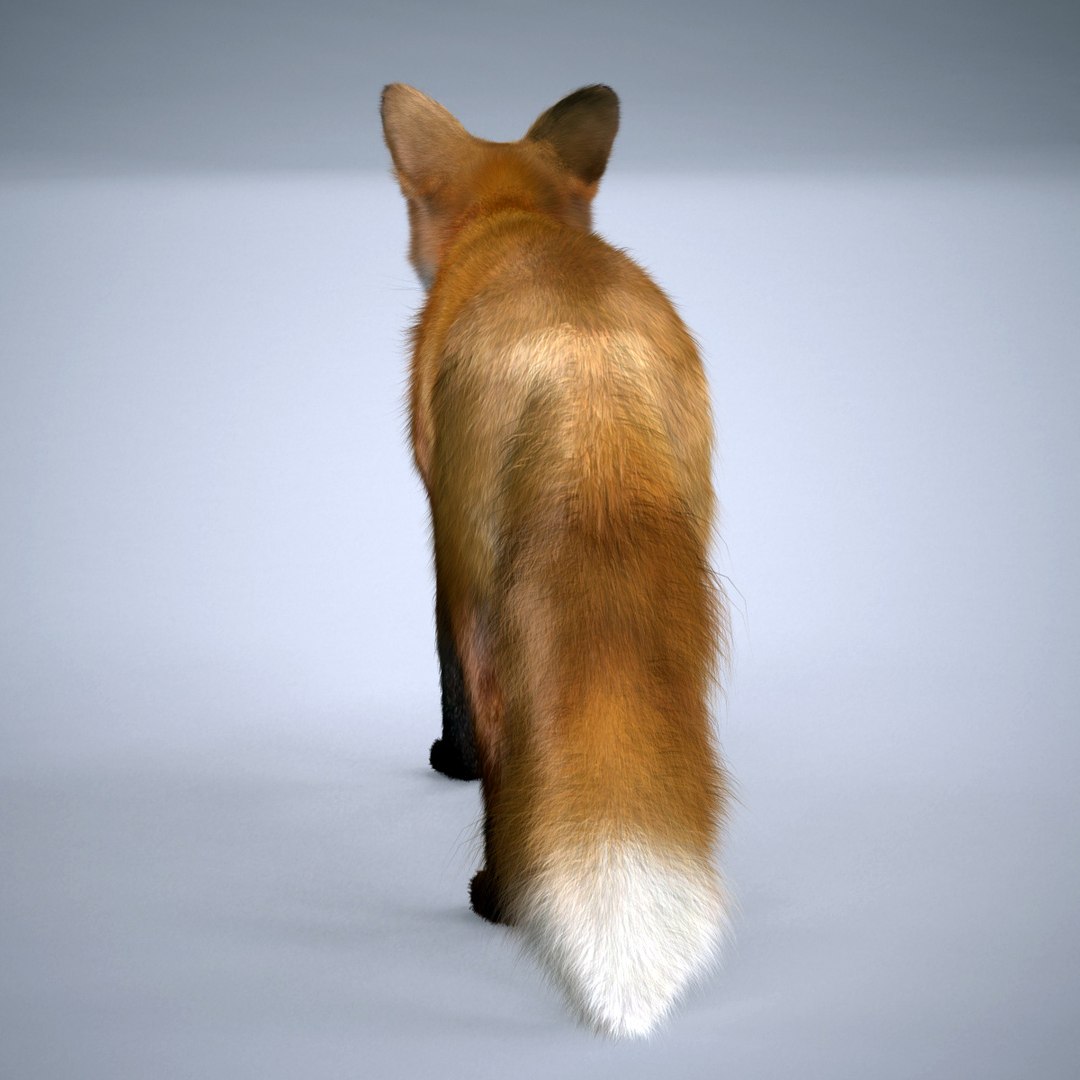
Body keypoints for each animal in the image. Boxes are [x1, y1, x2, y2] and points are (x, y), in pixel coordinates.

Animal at [380, 83, 729, 1038]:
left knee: (509, 756)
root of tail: (581, 345)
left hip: (488, 599)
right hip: (690, 574)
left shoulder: (443, 540)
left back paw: (498, 897)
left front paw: (450, 756)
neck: (518, 222)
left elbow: (445, 680)